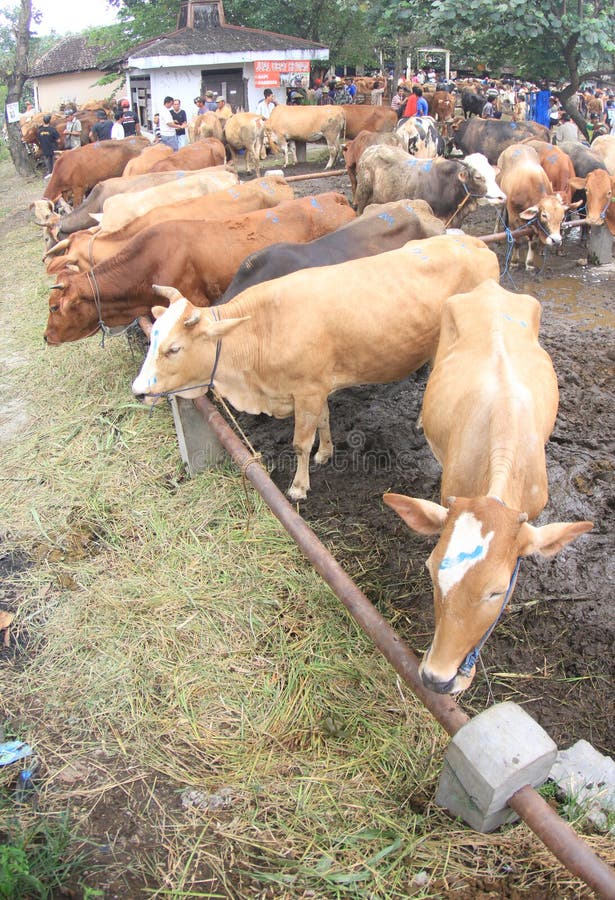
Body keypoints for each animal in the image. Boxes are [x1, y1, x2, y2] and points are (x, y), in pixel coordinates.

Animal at [131, 234, 499, 500]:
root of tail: (472, 242)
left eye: (174, 348)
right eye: (155, 336)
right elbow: (323, 420)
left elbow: (299, 443)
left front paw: (298, 486)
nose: (138, 391)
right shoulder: (316, 387)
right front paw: (326, 453)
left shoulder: (305, 391)